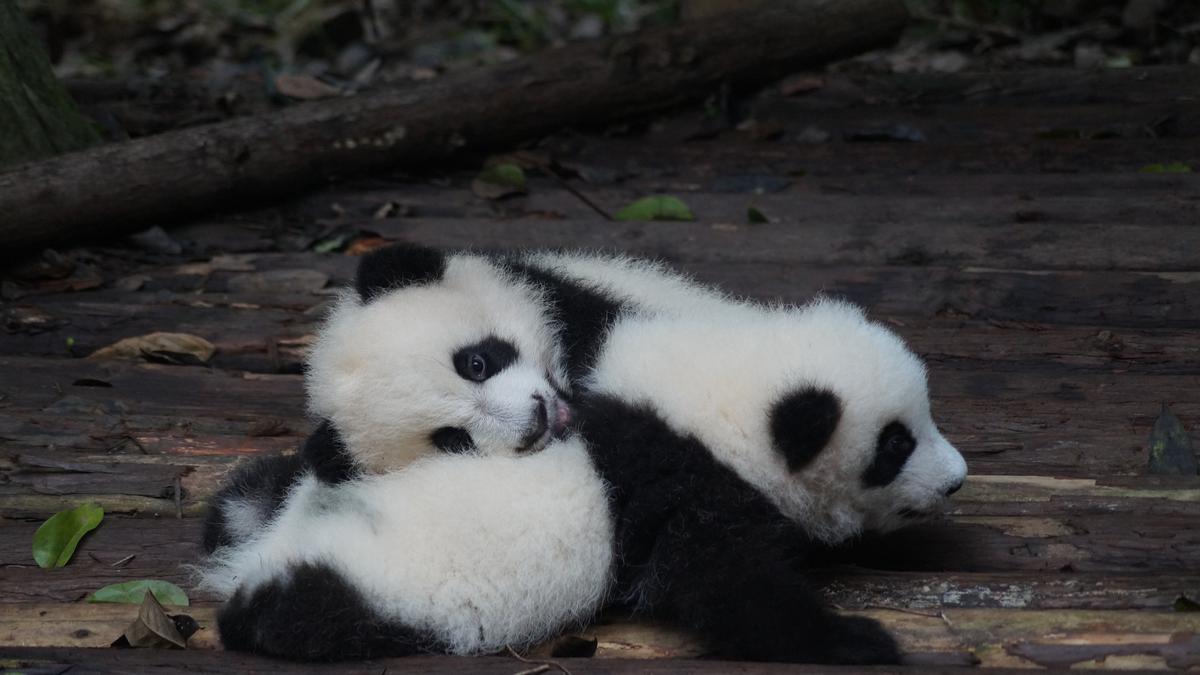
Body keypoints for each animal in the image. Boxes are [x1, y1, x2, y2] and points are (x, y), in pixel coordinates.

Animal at [200, 244, 967, 663]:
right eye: (894, 447)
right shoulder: (687, 489)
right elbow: (730, 588)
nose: (956, 480)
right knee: (301, 608)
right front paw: (858, 641)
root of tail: (266, 550)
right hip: (365, 591)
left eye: (479, 361)